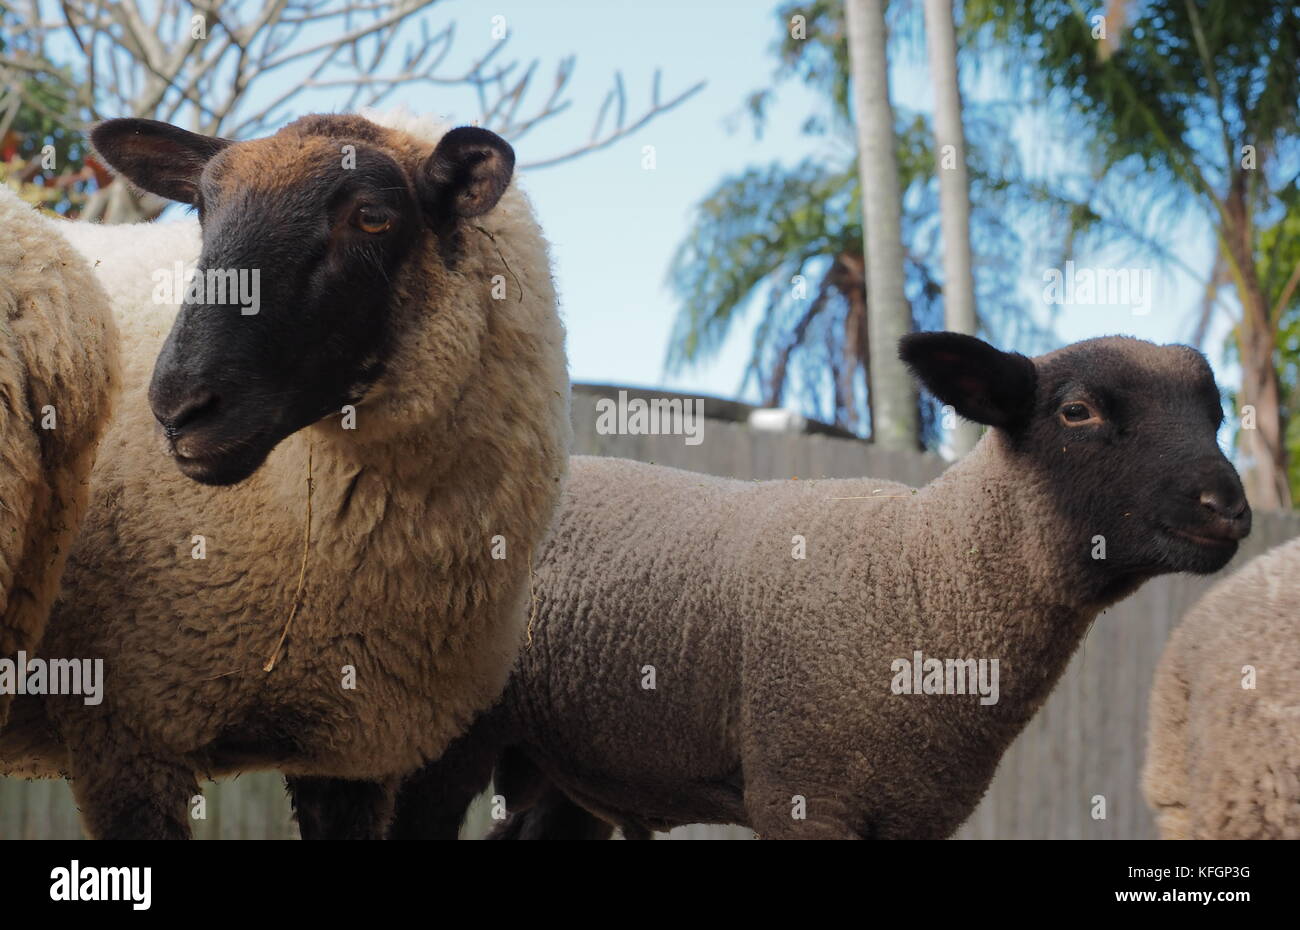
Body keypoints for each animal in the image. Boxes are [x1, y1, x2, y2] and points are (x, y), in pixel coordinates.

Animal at [313, 331, 1252, 840]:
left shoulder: (915, 813)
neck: (925, 578)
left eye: (1217, 414)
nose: (1230, 509)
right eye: (1077, 412)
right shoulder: (806, 794)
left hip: (555, 758)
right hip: (442, 735)